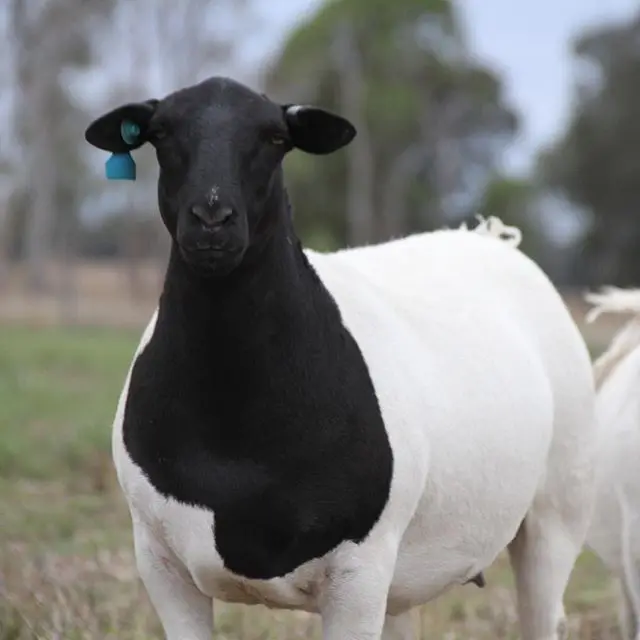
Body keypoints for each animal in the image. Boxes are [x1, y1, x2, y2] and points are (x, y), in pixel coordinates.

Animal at [84, 75, 599, 640]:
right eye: (161, 133)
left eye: (275, 138)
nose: (212, 218)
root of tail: (489, 237)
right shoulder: (160, 563)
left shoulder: (360, 571)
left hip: (557, 512)